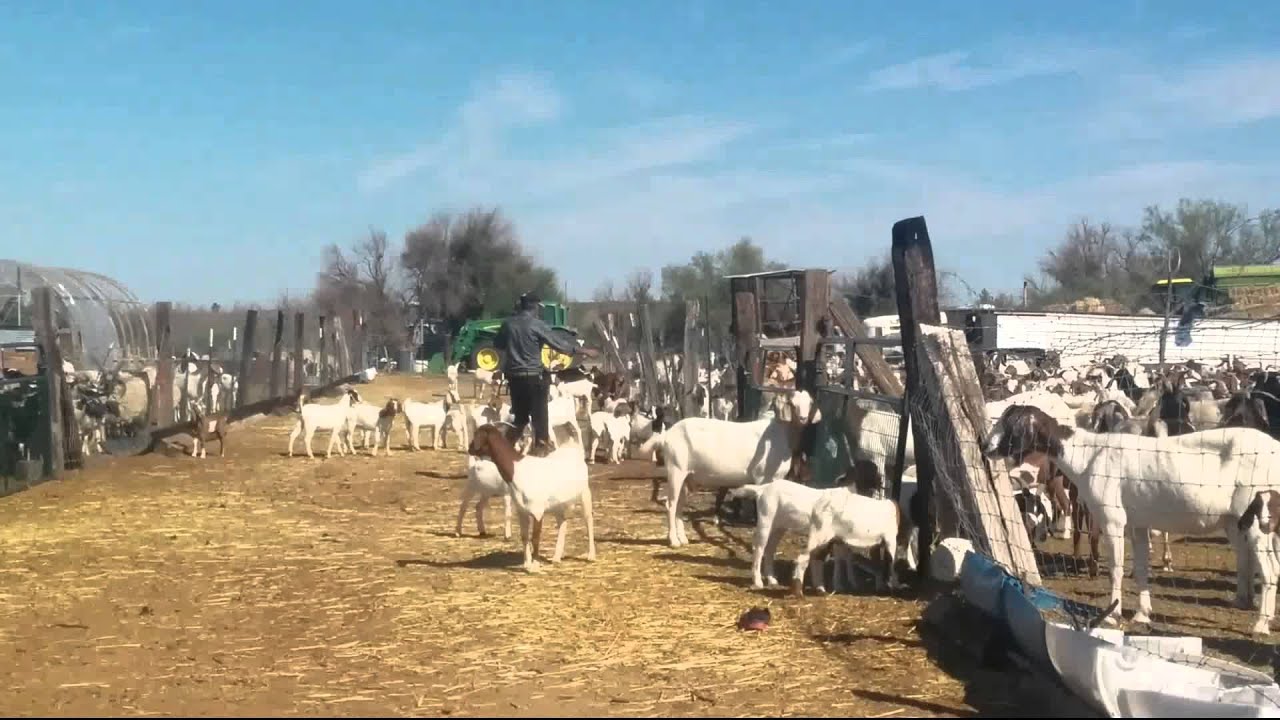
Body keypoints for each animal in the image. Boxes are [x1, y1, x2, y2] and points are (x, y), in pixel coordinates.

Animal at [467, 424, 596, 573]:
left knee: (588, 520)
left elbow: (535, 537)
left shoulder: (537, 511)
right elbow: (524, 537)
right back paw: (556, 557)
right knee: (563, 523)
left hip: (585, 492)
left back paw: (591, 555)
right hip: (557, 503)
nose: (469, 448)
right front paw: (527, 564)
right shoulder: (522, 511)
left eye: (478, 434)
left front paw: (535, 564)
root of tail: (571, 447)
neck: (517, 469)